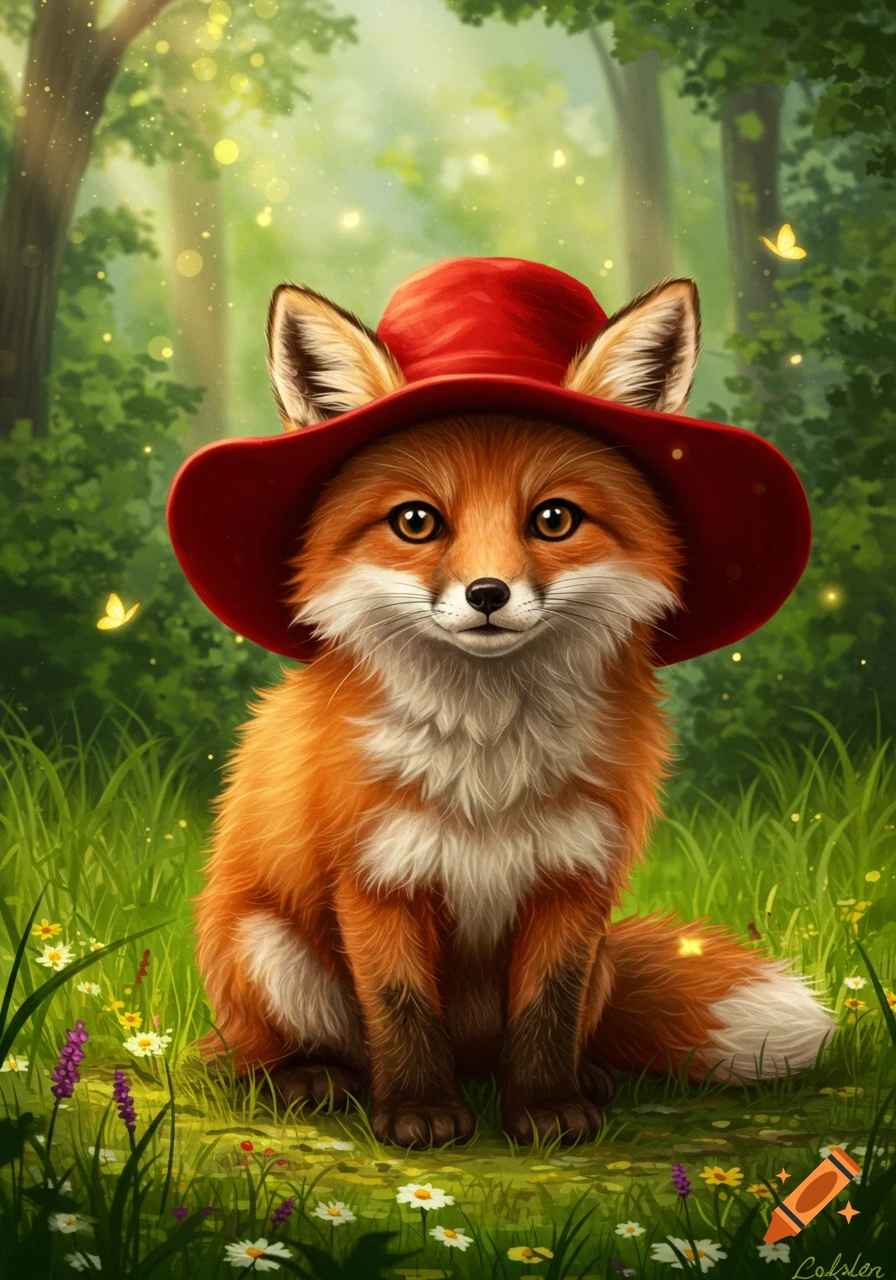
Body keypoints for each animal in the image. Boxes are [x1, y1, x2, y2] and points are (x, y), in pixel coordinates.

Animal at [193, 270, 834, 1148]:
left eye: (553, 518)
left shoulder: (573, 878)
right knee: (249, 1058)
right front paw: (419, 1113)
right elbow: (400, 1008)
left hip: (600, 960)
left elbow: (546, 1013)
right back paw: (312, 1079)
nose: (487, 594)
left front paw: (547, 1110)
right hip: (267, 948)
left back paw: (583, 1079)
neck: (487, 759)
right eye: (417, 521)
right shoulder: (377, 878)